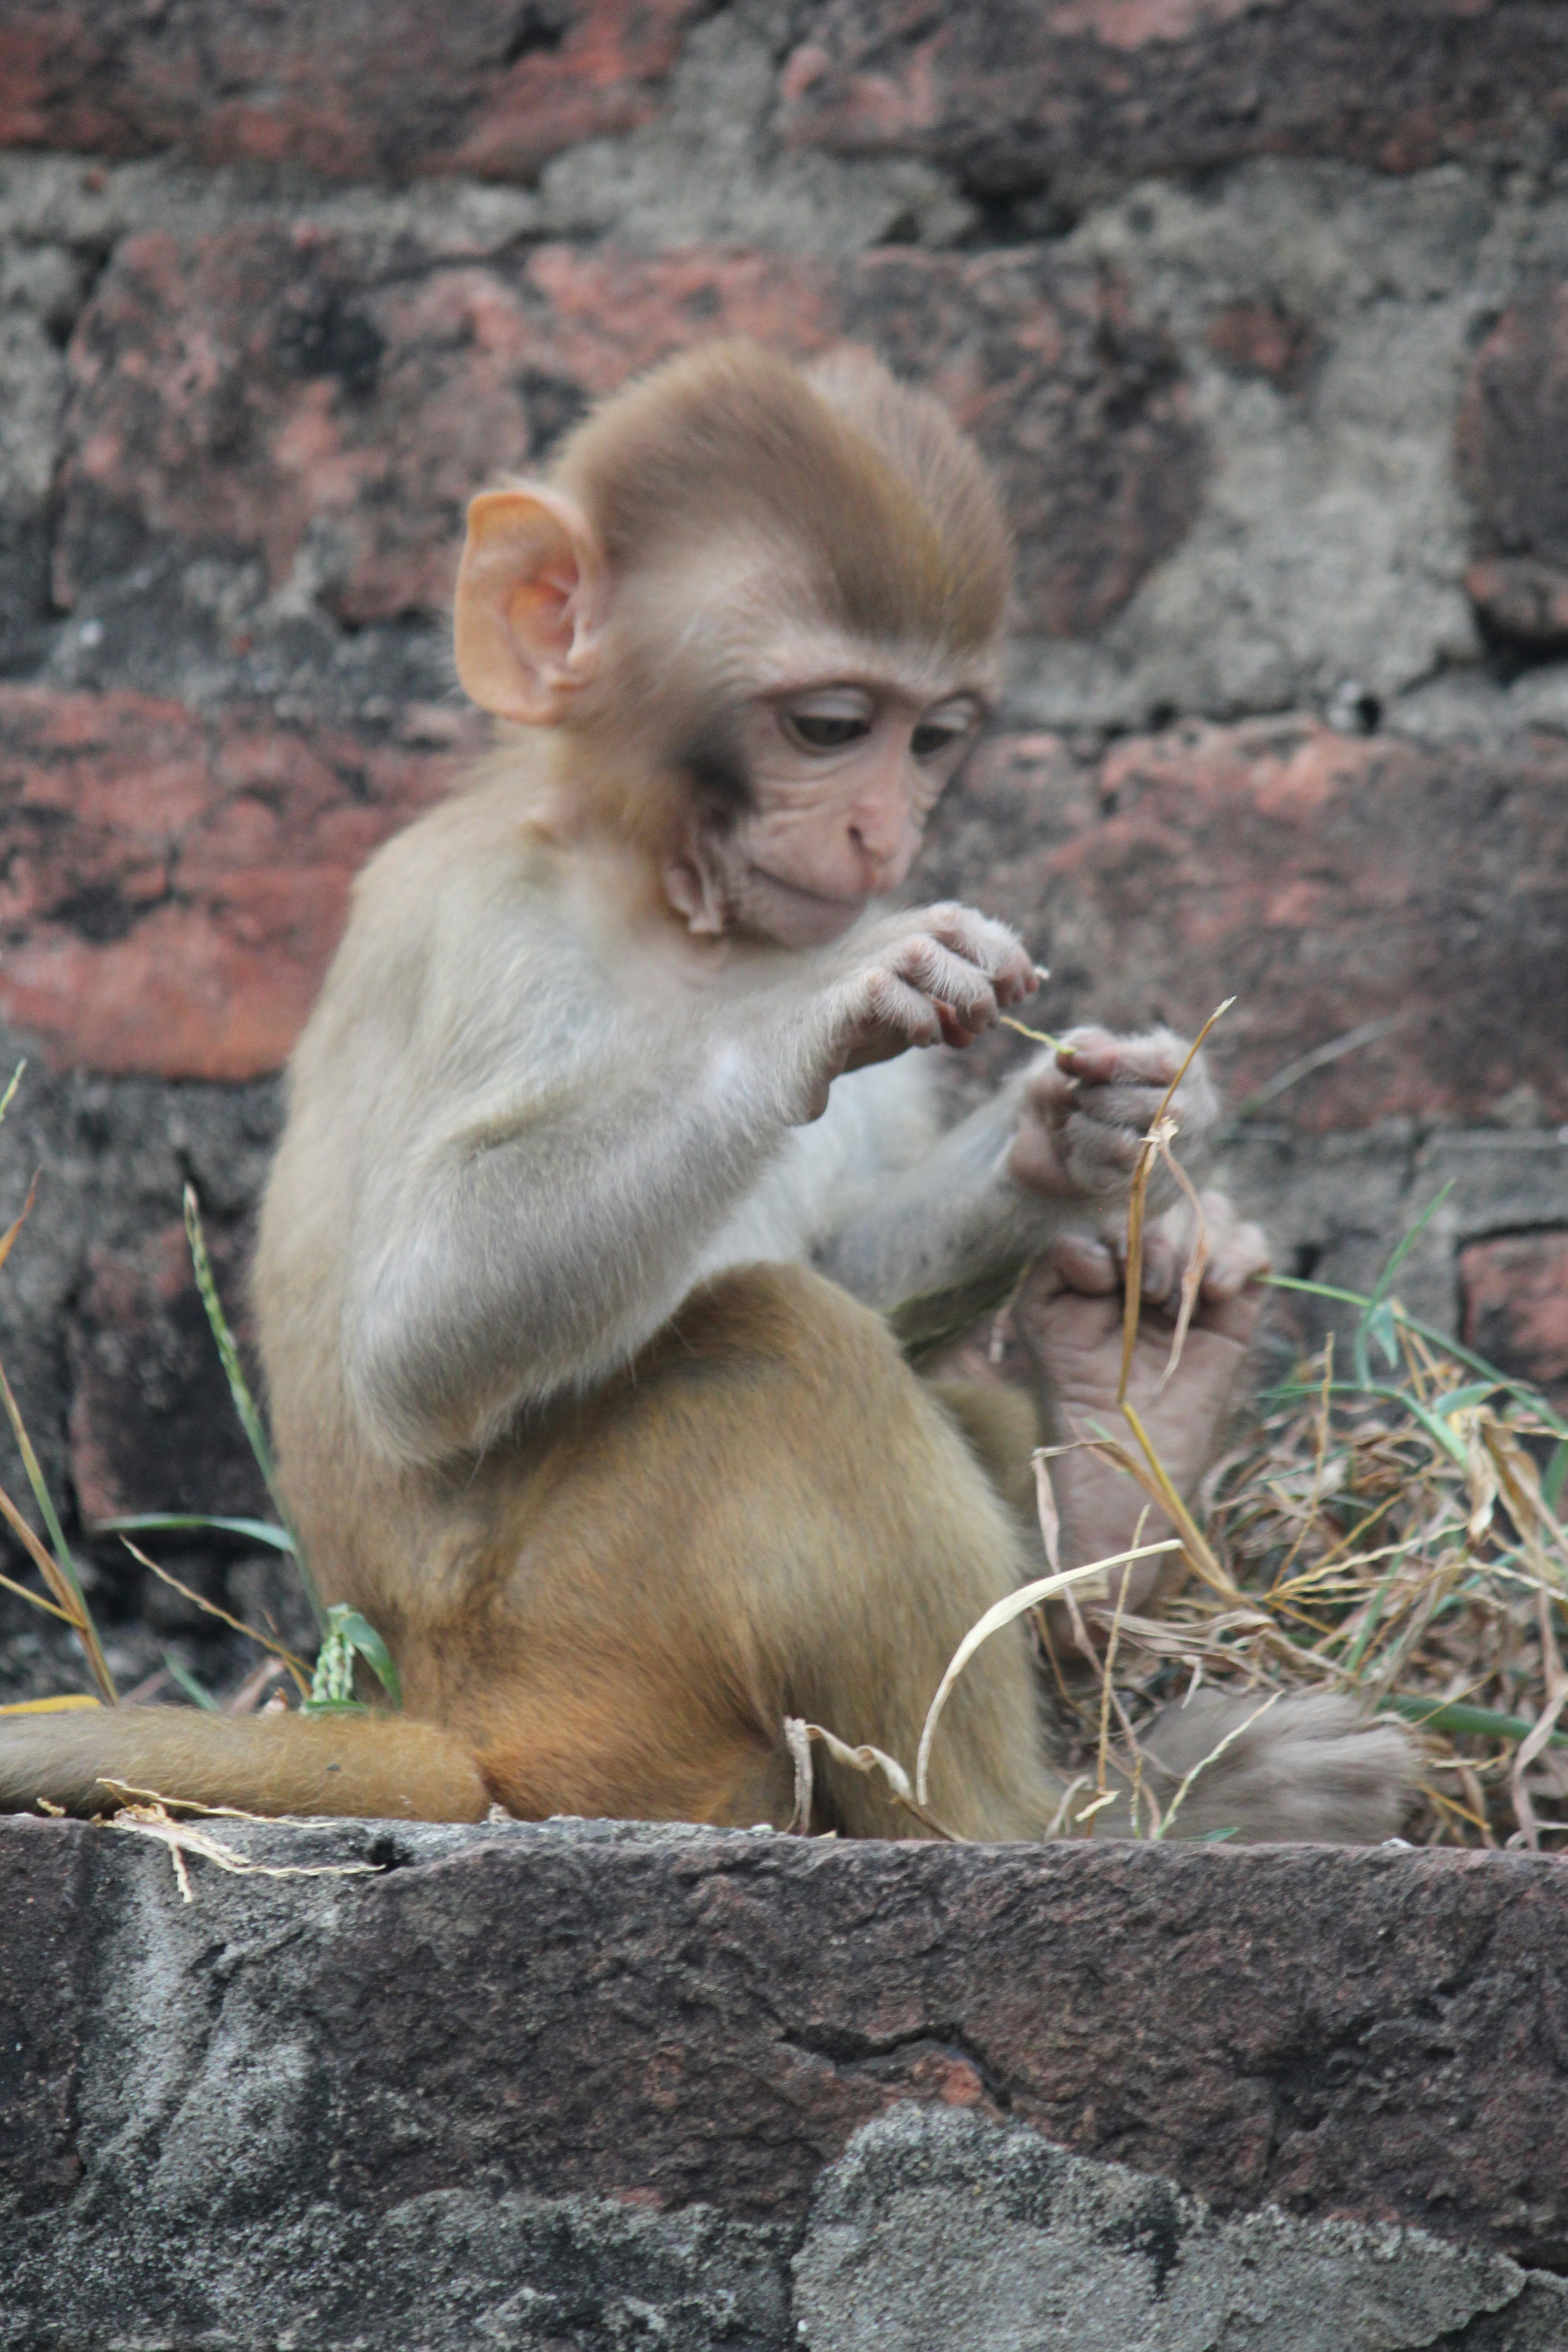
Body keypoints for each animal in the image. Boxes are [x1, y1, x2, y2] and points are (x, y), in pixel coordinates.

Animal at [0, 341, 1412, 1841]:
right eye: (832, 727)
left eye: (933, 740)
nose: (883, 833)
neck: (671, 912)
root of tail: (454, 1725)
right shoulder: (480, 931)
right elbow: (418, 1333)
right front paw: (823, 1006)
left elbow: (854, 1251)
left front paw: (1067, 1135)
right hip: (597, 1669)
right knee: (777, 1348)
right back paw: (1109, 1813)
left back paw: (1114, 1470)